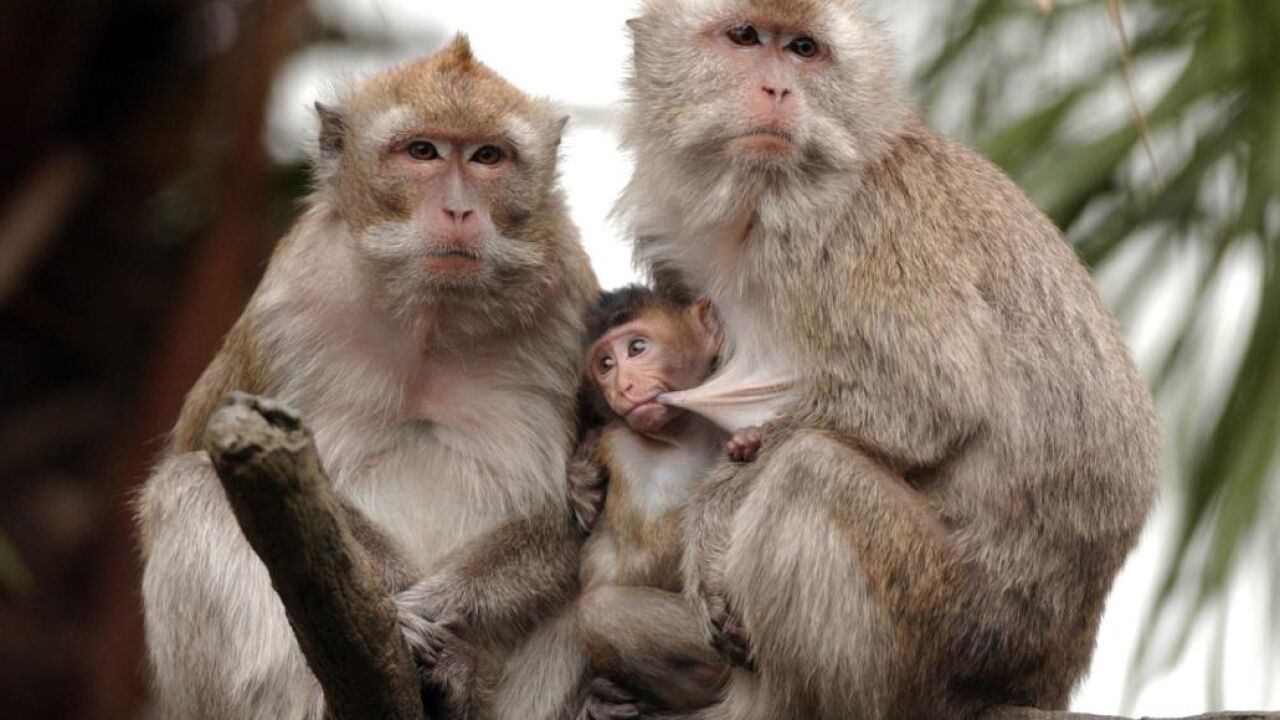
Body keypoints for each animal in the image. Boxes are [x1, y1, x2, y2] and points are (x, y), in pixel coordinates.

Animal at [136, 36, 601, 720]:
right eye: (422, 152)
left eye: (488, 157)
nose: (459, 208)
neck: (432, 317)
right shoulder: (285, 311)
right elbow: (219, 462)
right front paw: (401, 607)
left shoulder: (574, 308)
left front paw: (438, 603)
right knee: (189, 487)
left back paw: (459, 687)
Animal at [602, 2, 1162, 719]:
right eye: (745, 37)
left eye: (804, 49)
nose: (778, 89)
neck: (758, 207)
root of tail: (1044, 675)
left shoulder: (856, 230)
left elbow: (926, 403)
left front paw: (713, 513)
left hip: (946, 630)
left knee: (810, 472)